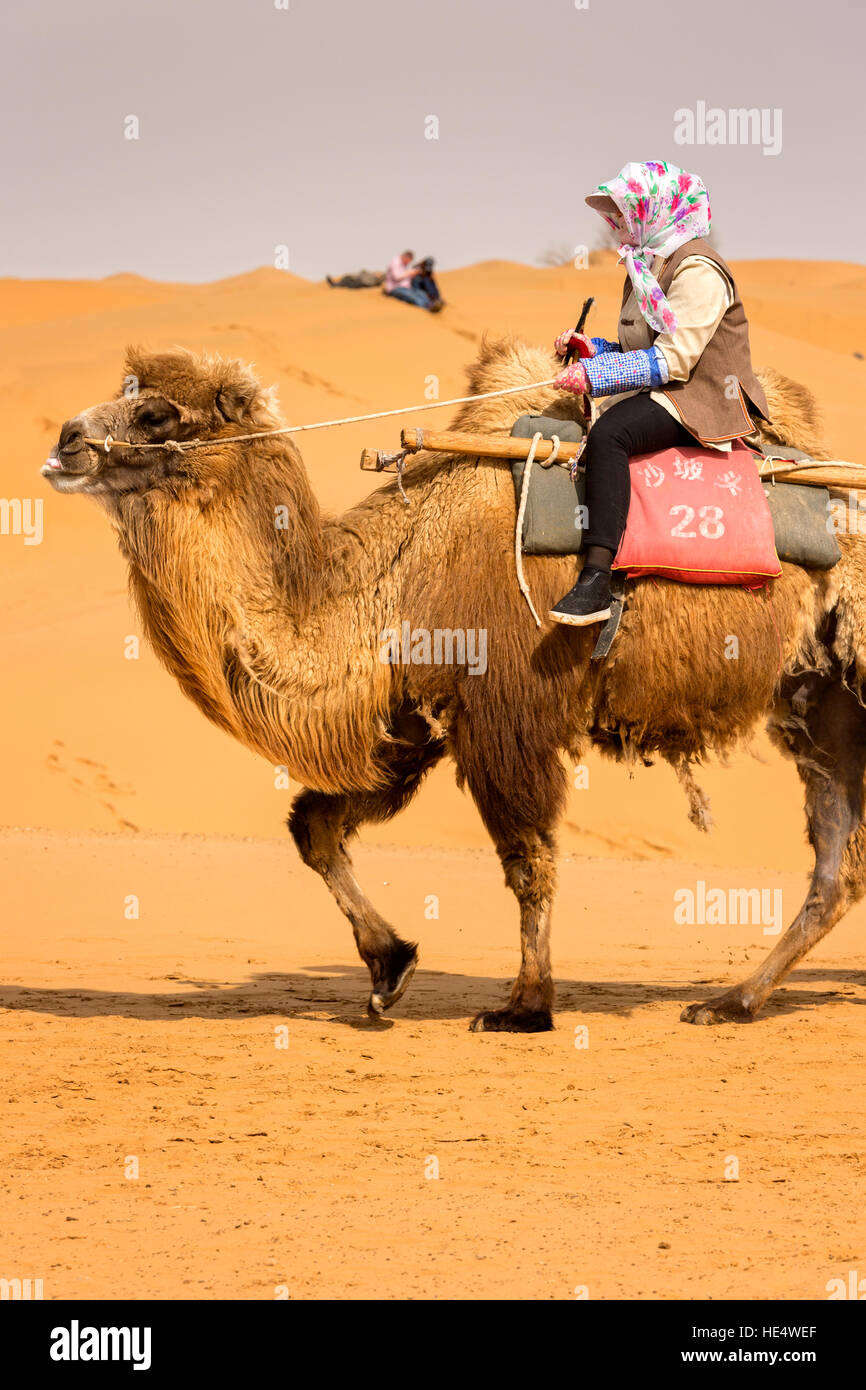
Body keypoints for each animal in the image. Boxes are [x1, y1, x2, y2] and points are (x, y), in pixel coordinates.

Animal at [43, 341, 866, 1032]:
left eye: (155, 413)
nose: (64, 440)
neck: (399, 575)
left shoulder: (506, 713)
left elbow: (528, 863)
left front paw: (525, 1006)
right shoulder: (414, 719)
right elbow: (314, 826)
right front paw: (389, 968)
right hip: (820, 705)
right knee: (838, 866)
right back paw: (732, 1002)